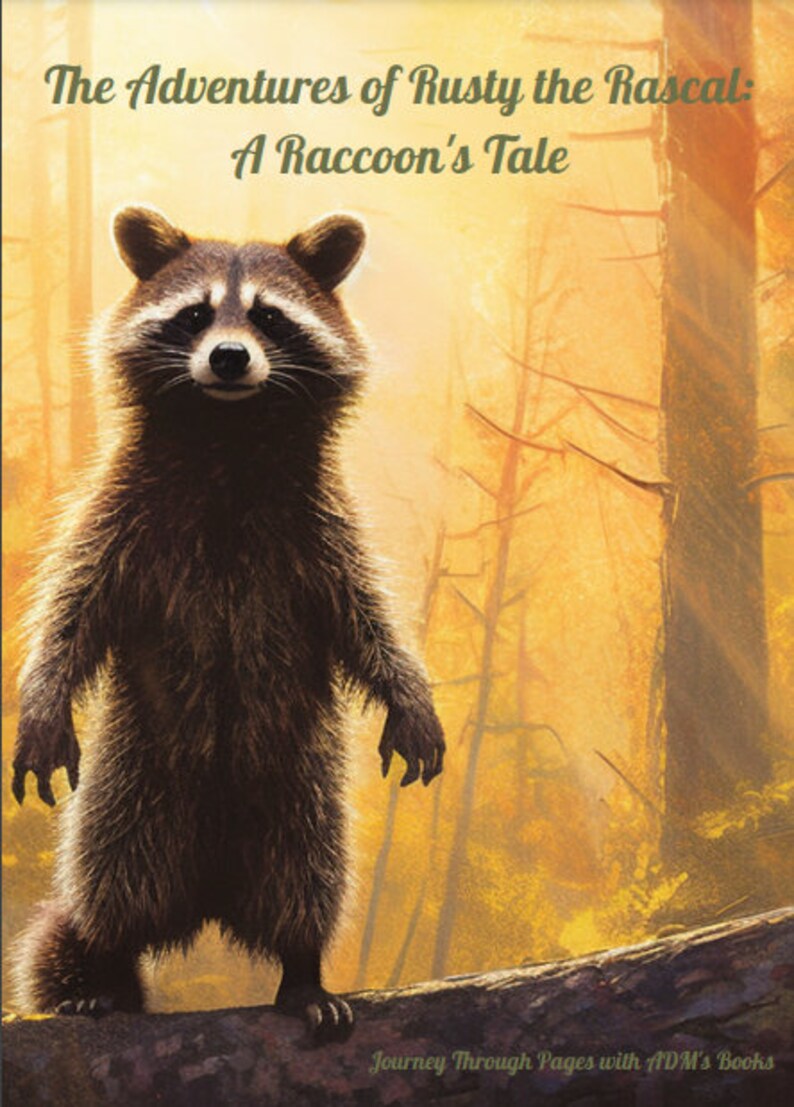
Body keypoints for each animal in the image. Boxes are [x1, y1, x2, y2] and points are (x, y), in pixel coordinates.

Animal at [11, 207, 445, 1040]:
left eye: (269, 316)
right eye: (195, 314)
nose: (231, 355)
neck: (227, 434)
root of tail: (208, 891)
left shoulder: (321, 527)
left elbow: (368, 619)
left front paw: (409, 693)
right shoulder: (122, 511)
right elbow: (71, 608)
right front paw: (42, 702)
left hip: (300, 778)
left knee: (308, 875)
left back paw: (303, 969)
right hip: (134, 770)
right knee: (109, 871)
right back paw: (106, 967)